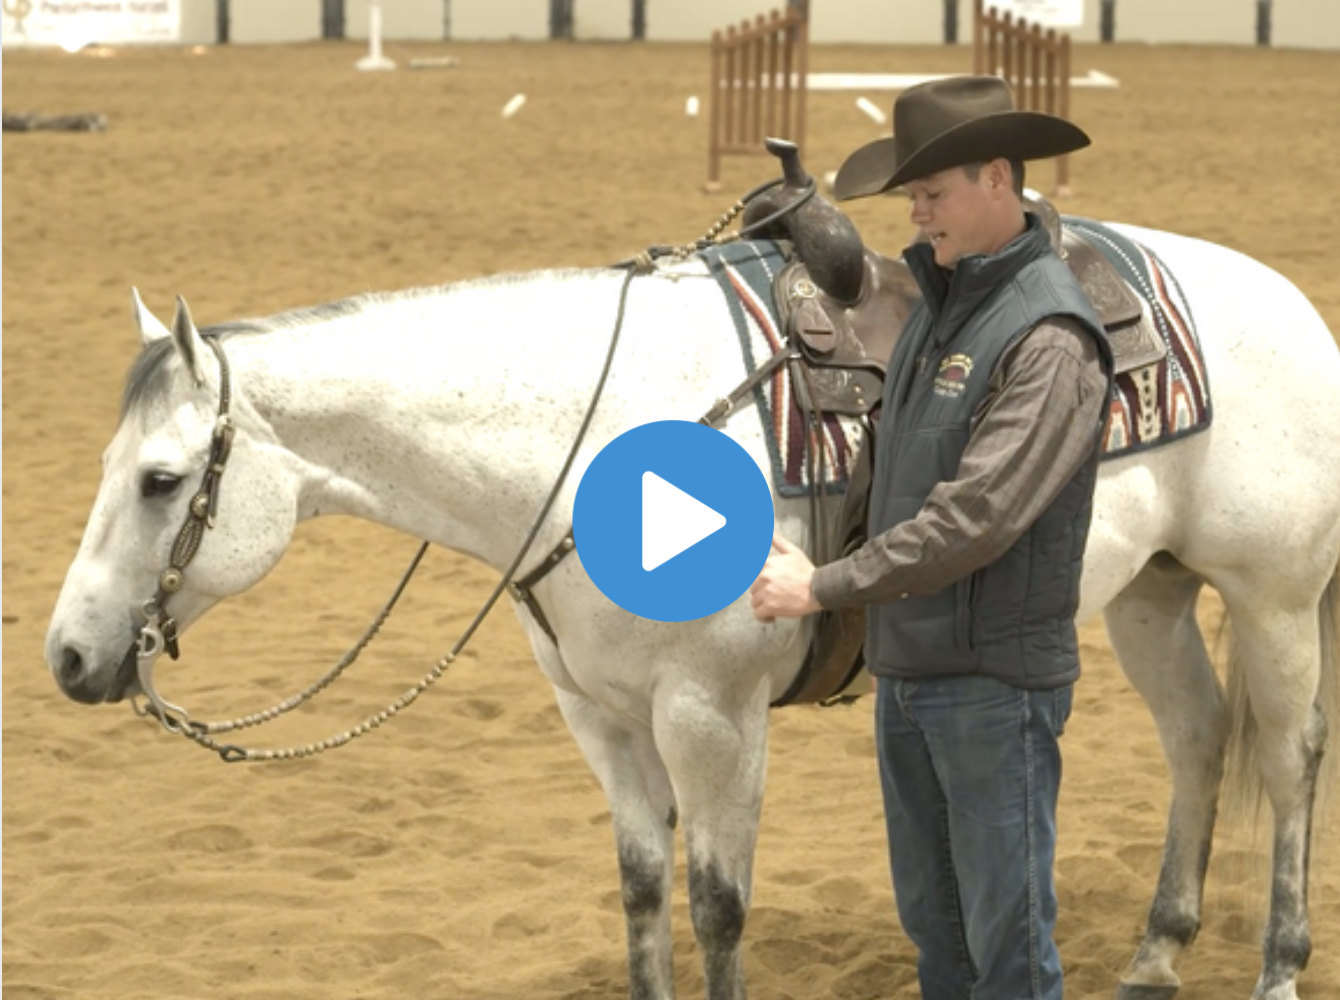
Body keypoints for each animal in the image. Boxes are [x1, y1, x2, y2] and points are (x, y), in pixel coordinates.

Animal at [44, 218, 1340, 1000]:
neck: (596, 445)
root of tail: (1289, 302)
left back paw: (1276, 963)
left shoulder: (710, 717)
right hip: (1151, 593)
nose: (65, 654)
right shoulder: (601, 716)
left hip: (1272, 597)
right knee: (1195, 736)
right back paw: (1155, 951)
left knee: (1283, 758)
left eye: (160, 479)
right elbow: (642, 887)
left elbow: (718, 904)